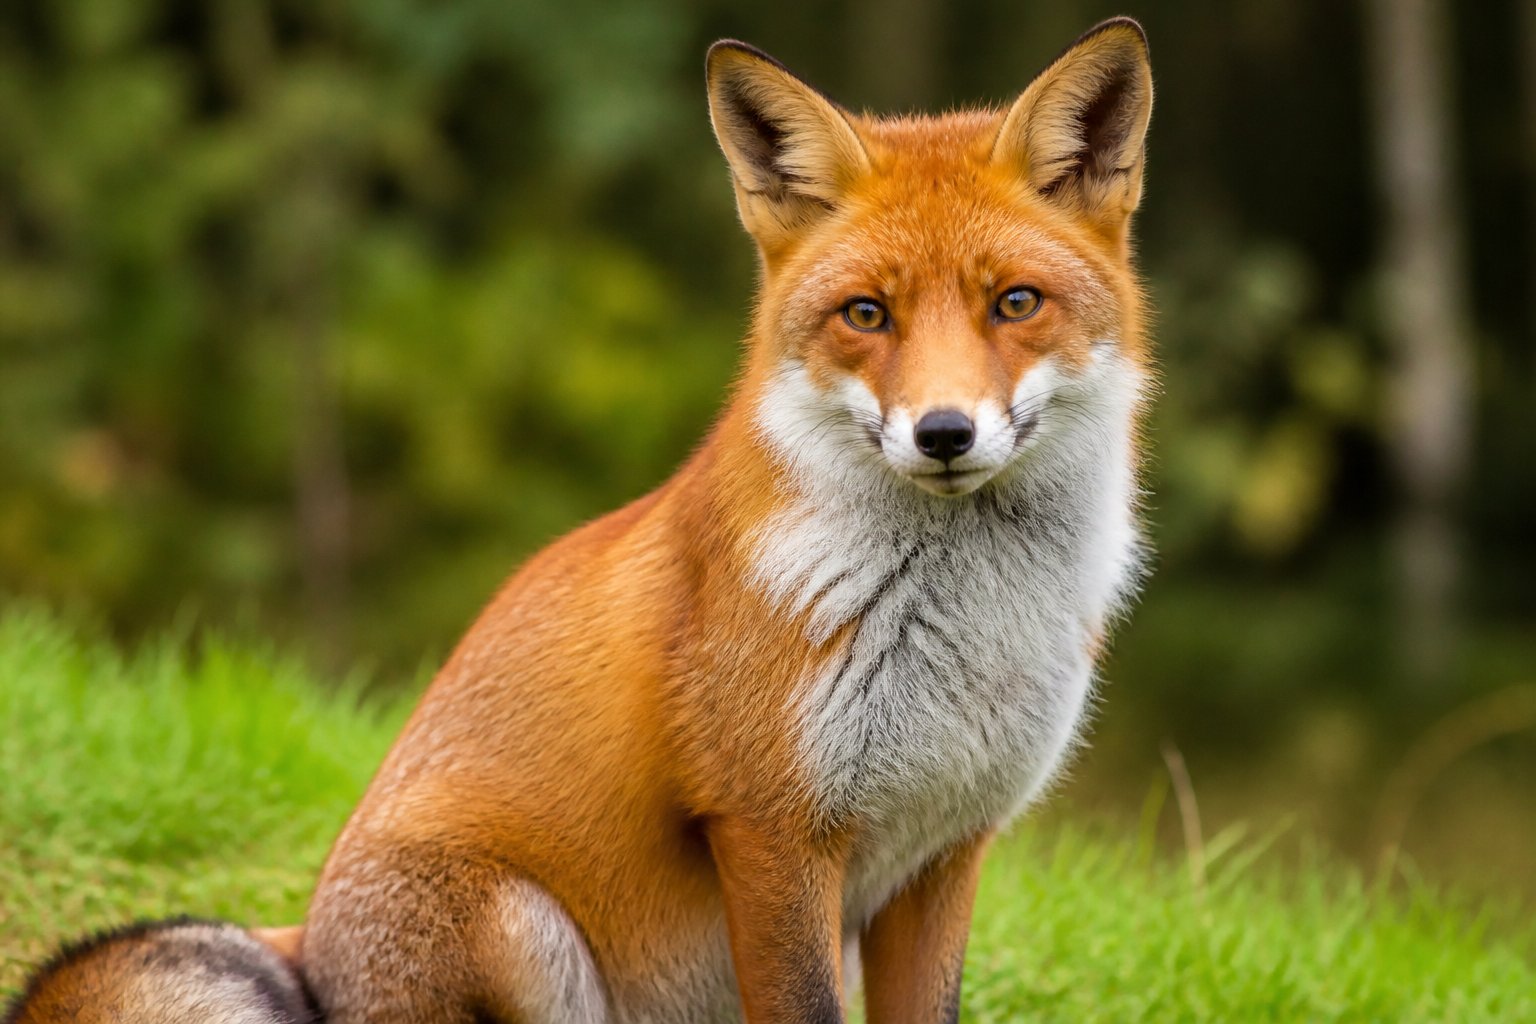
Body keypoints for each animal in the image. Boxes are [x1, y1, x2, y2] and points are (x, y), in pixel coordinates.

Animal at [6, 17, 1154, 1024]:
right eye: (866, 315)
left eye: (1014, 303)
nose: (944, 433)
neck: (958, 633)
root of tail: (309, 938)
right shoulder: (773, 833)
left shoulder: (944, 851)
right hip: (523, 927)